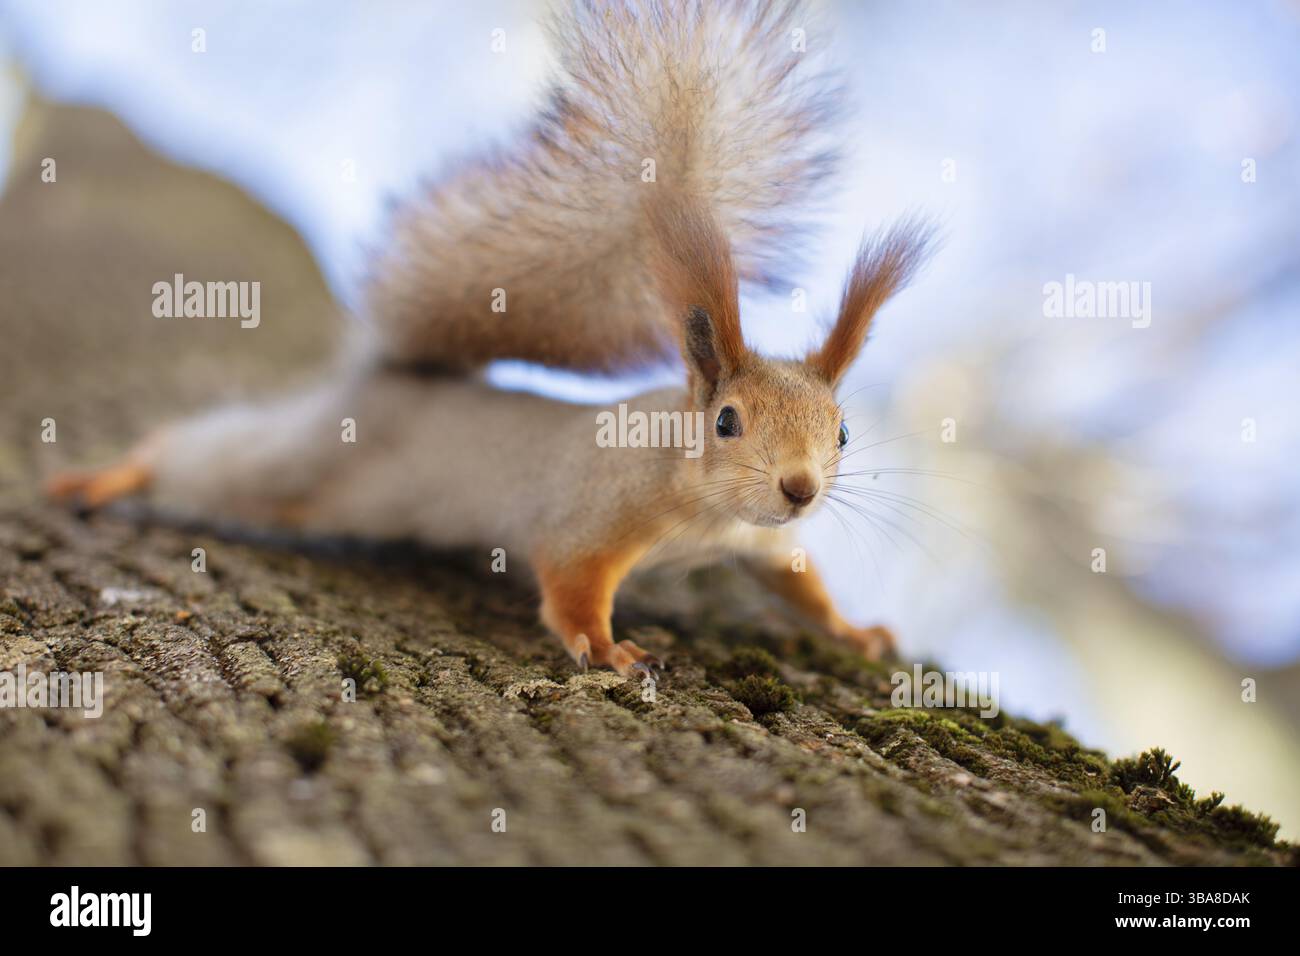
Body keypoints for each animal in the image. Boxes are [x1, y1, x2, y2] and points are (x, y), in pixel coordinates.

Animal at [47, 0, 933, 679]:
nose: (801, 489)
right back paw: (105, 478)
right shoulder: (589, 515)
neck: (699, 500)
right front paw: (606, 649)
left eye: (842, 431)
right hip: (311, 461)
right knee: (207, 457)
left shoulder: (760, 541)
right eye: (727, 421)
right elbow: (571, 586)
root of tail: (402, 376)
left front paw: (858, 631)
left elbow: (802, 584)